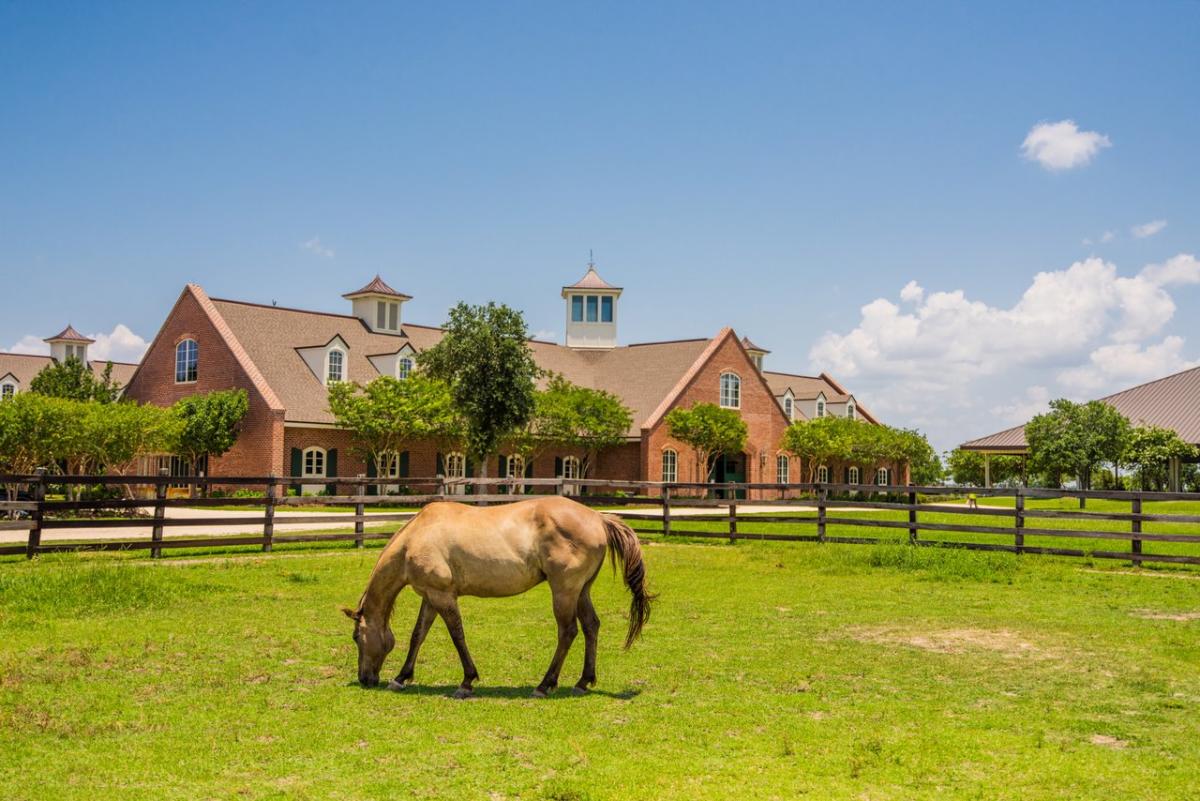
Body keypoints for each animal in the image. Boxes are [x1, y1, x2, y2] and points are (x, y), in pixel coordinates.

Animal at [343, 495, 654, 698]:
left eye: (357, 637)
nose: (365, 679)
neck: (415, 537)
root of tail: (598, 518)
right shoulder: (431, 596)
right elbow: (418, 635)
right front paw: (401, 677)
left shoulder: (443, 596)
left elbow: (457, 635)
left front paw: (466, 682)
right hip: (581, 591)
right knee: (591, 626)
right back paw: (582, 682)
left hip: (564, 591)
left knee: (568, 632)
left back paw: (544, 685)